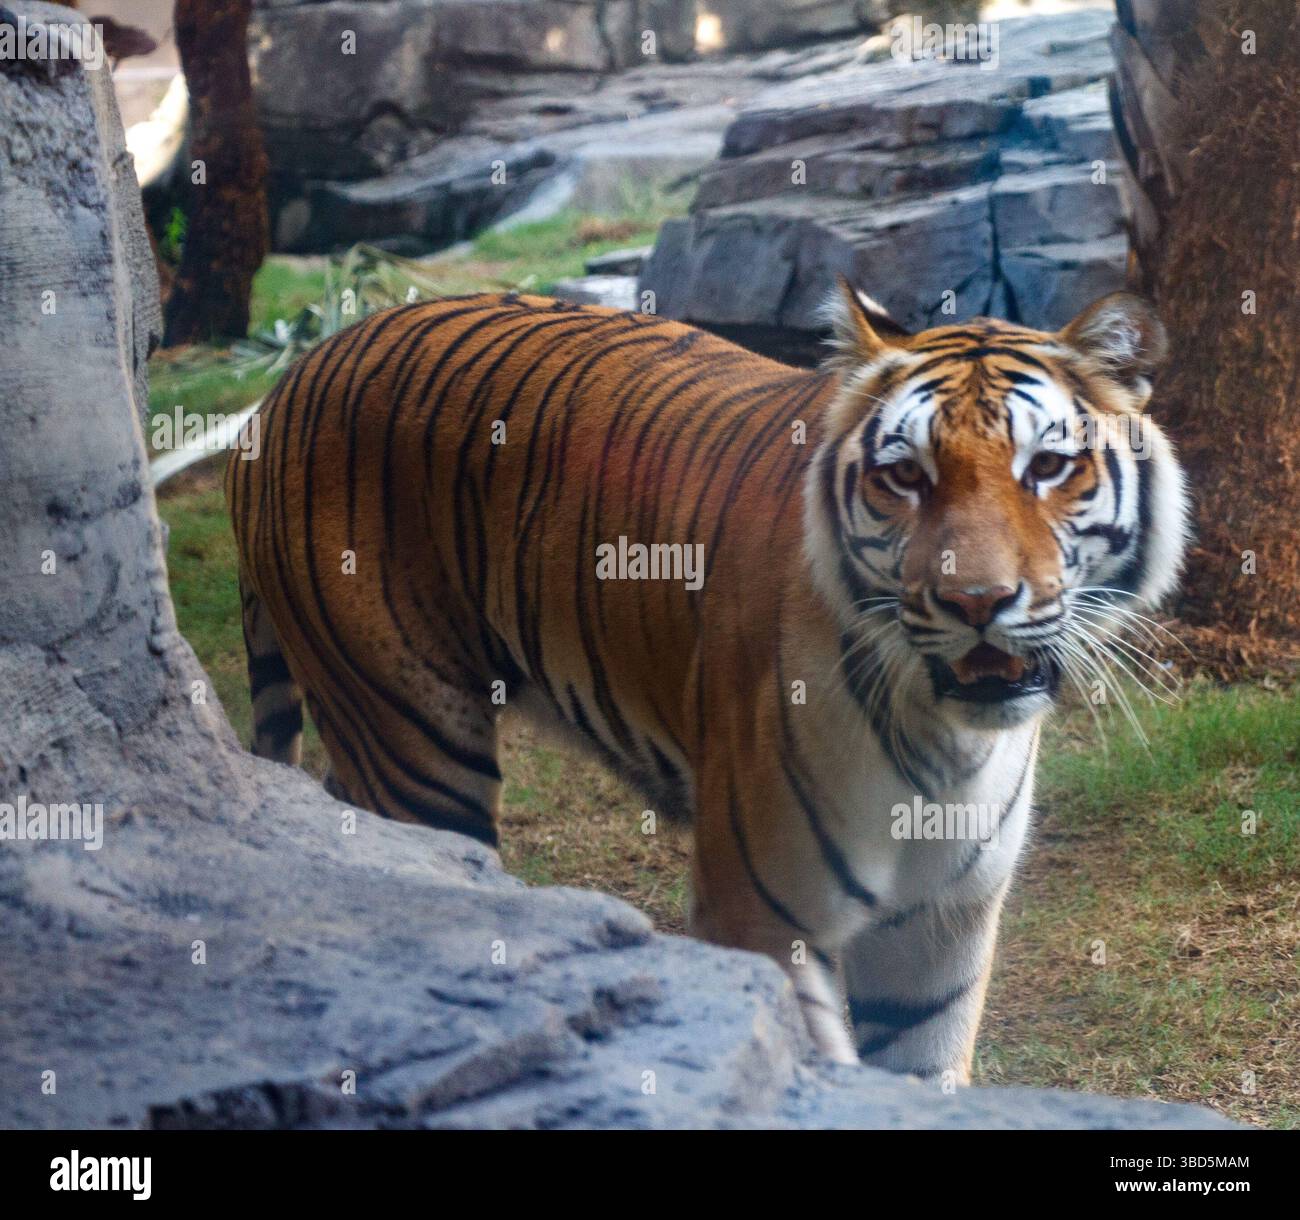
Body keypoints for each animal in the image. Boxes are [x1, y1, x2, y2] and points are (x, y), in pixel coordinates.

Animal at [226, 281, 1190, 1080]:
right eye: (905, 476)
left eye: (1049, 467)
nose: (976, 601)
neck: (946, 741)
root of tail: (291, 377)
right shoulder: (762, 915)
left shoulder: (941, 933)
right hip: (417, 740)